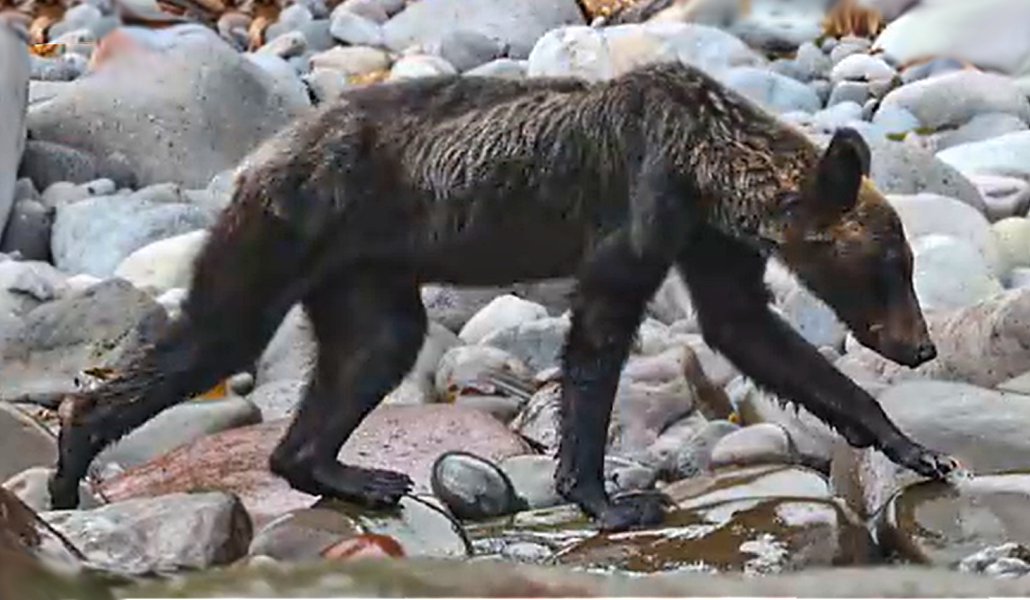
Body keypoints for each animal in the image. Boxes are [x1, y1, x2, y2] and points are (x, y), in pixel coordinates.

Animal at [48, 61, 960, 532]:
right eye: (890, 263)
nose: (919, 344)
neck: (710, 167)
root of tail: (263, 151)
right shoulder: (642, 207)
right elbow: (599, 342)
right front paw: (611, 496)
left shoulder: (707, 240)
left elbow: (748, 330)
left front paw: (918, 448)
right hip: (292, 222)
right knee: (221, 332)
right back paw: (71, 462)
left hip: (364, 272)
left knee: (373, 349)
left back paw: (352, 473)